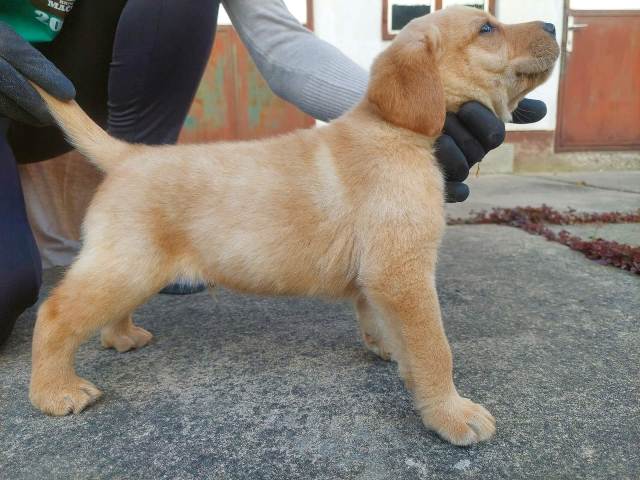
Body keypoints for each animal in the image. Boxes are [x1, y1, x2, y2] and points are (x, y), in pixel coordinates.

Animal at [32, 5, 556, 446]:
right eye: (486, 28)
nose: (553, 25)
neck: (398, 129)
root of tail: (127, 155)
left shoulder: (382, 276)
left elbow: (384, 322)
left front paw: (390, 350)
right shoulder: (402, 272)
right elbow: (435, 348)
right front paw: (451, 413)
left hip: (136, 267)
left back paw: (121, 337)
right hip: (125, 265)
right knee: (55, 314)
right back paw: (54, 392)